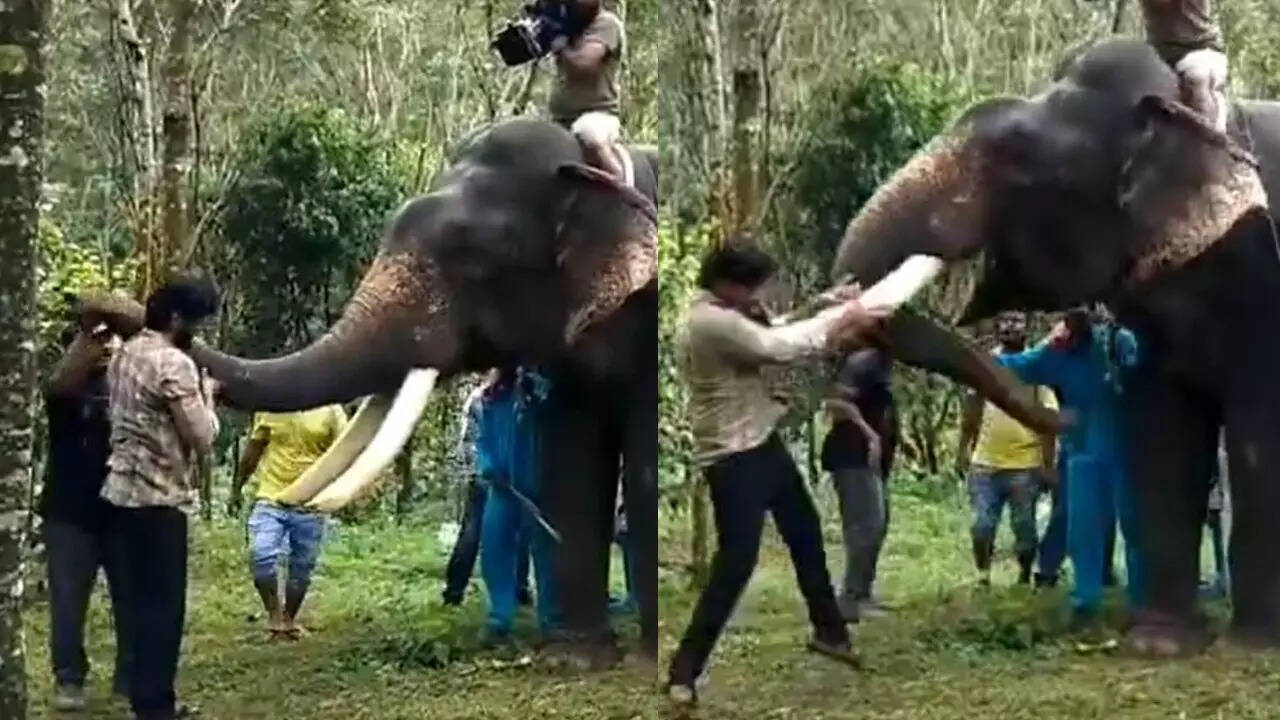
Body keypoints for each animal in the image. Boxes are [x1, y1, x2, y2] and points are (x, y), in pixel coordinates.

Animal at [830, 37, 1280, 654]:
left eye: (1017, 160)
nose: (1071, 415)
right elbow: (1162, 428)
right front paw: (1158, 644)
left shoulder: (1262, 274)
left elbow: (1261, 430)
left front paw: (1250, 648)